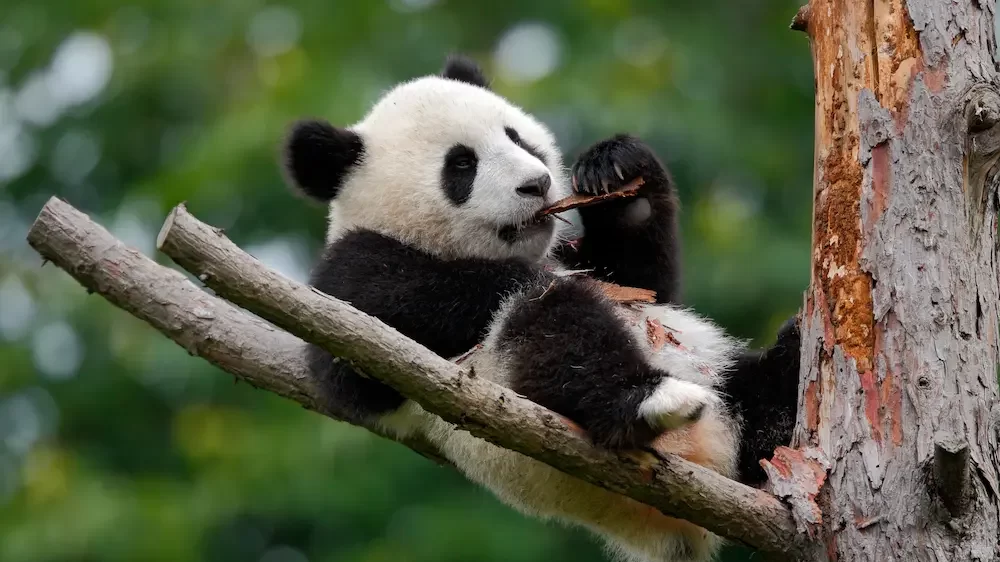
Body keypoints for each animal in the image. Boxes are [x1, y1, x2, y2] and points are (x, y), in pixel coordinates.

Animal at [281, 55, 800, 562]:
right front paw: (523, 278)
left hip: (723, 385)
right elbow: (357, 355)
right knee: (555, 330)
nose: (537, 184)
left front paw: (616, 169)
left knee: (754, 394)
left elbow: (645, 282)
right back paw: (645, 400)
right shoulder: (351, 274)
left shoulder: (586, 257)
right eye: (462, 165)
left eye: (516, 137)